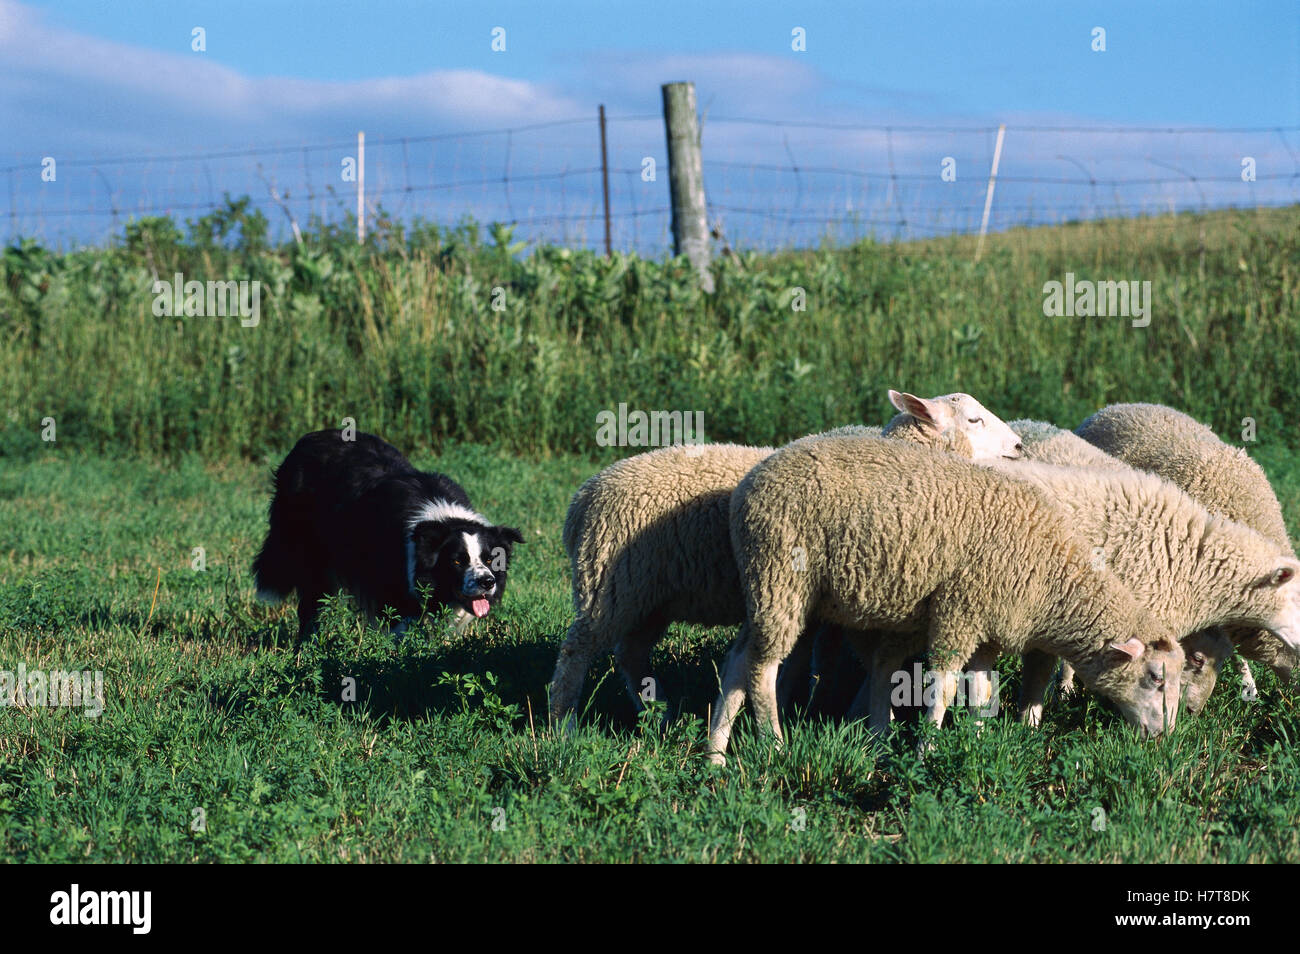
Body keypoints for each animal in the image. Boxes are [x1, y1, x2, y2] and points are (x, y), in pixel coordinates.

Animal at [547, 390, 1024, 725]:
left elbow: (814, 663)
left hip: (648, 599)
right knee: (575, 653)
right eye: (975, 419)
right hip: (609, 586)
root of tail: (580, 501)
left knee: (630, 655)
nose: (1020, 446)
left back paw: (658, 713)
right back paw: (563, 727)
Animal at [707, 435, 1188, 764]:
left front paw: (974, 745)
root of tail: (752, 480)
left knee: (738, 661)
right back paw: (773, 744)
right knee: (763, 667)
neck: (1051, 574)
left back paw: (716, 754)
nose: (1166, 739)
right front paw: (927, 751)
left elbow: (980, 692)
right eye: (1155, 679)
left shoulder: (989, 626)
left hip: (769, 586)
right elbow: (944, 687)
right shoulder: (961, 610)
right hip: (781, 576)